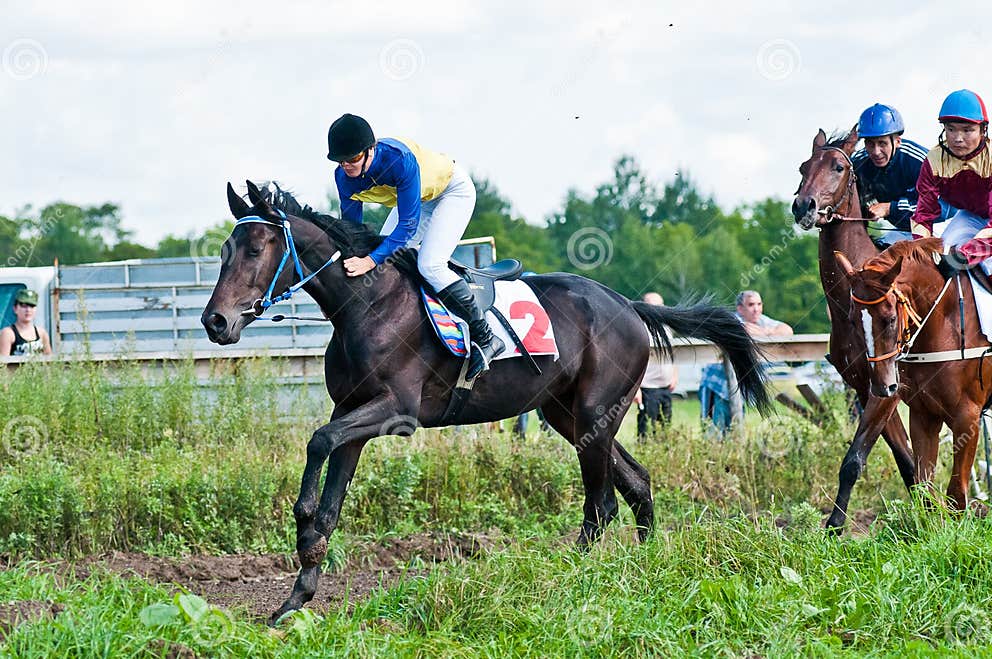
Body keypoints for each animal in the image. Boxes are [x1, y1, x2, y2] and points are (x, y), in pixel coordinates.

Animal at [202, 180, 771, 622]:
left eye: (255, 250)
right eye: (226, 250)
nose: (215, 322)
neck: (367, 305)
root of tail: (629, 304)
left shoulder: (395, 412)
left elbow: (318, 443)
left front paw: (299, 524)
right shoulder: (352, 414)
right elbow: (329, 497)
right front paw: (295, 597)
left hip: (593, 412)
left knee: (603, 501)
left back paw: (572, 574)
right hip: (568, 414)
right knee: (636, 481)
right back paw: (643, 565)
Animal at [792, 127, 916, 531]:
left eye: (838, 166)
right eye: (804, 166)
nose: (804, 206)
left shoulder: (889, 389)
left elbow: (853, 461)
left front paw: (834, 524)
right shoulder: (869, 387)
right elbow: (907, 461)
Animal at [836, 238, 991, 510]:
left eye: (889, 319)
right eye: (852, 320)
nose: (882, 386)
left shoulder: (968, 416)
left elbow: (956, 497)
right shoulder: (923, 415)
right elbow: (924, 489)